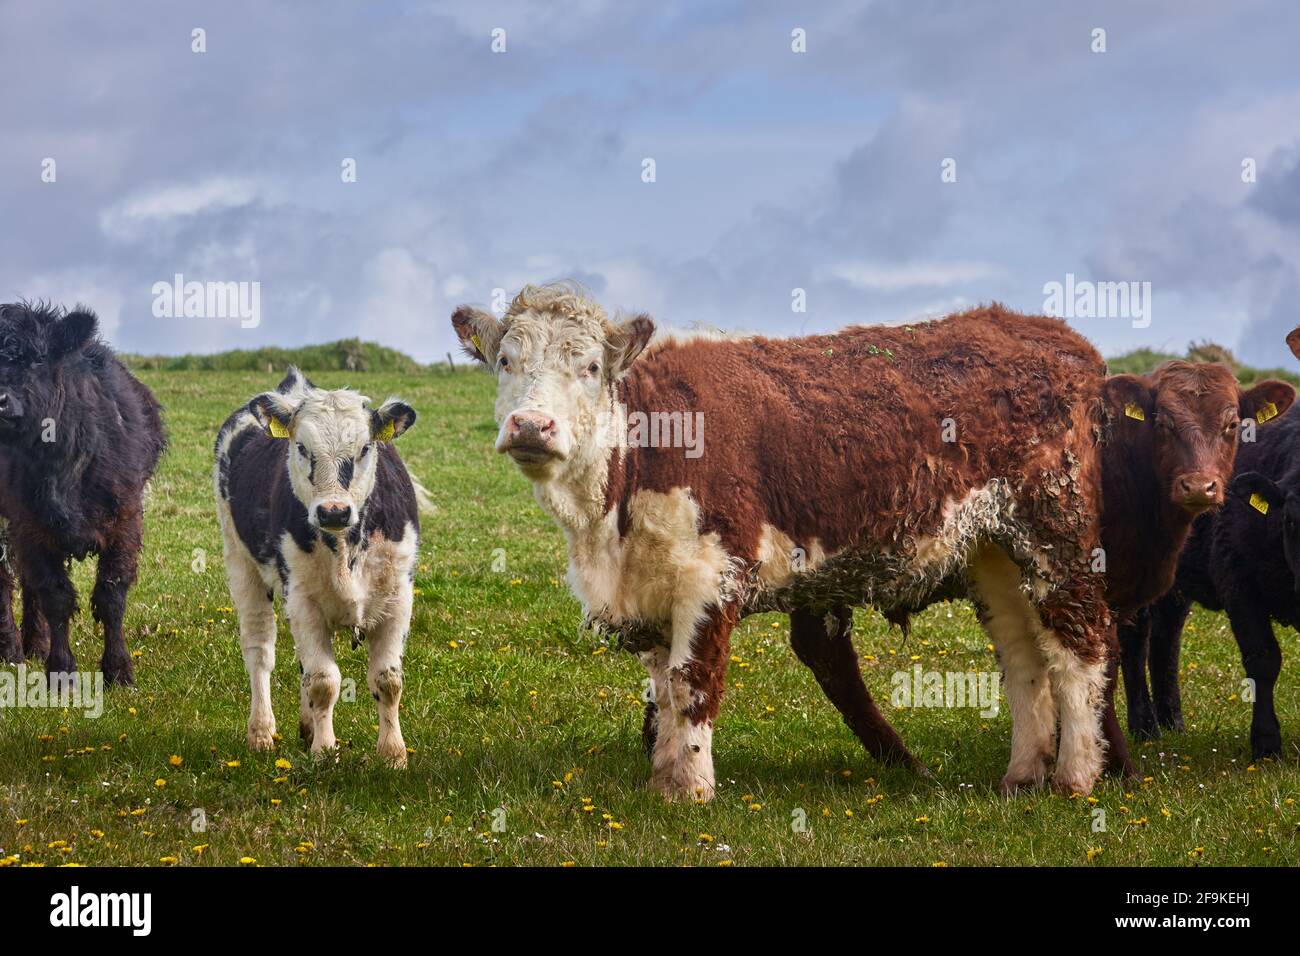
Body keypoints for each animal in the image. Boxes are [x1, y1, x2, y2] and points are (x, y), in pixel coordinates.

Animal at [0, 302, 165, 686]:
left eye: (37, 358)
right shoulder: (29, 524)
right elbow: (55, 596)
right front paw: (61, 670)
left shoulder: (126, 520)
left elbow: (111, 594)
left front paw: (118, 670)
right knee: (6, 579)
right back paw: (12, 650)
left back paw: (36, 644)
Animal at [214, 368, 420, 767]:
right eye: (302, 448)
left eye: (364, 449)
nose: (334, 512)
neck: (344, 548)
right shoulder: (302, 600)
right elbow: (324, 681)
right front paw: (324, 751)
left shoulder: (399, 597)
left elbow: (388, 680)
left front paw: (393, 754)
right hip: (241, 563)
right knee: (260, 651)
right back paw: (261, 732)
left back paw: (306, 726)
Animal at [453, 284, 1115, 799]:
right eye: (505, 360)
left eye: (590, 366)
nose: (531, 426)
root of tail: (1050, 334)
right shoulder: (648, 585)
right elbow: (662, 689)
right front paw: (663, 779)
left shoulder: (710, 572)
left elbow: (692, 682)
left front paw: (691, 790)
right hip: (993, 552)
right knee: (1024, 657)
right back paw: (1022, 776)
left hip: (1058, 537)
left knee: (1079, 648)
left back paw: (1074, 778)